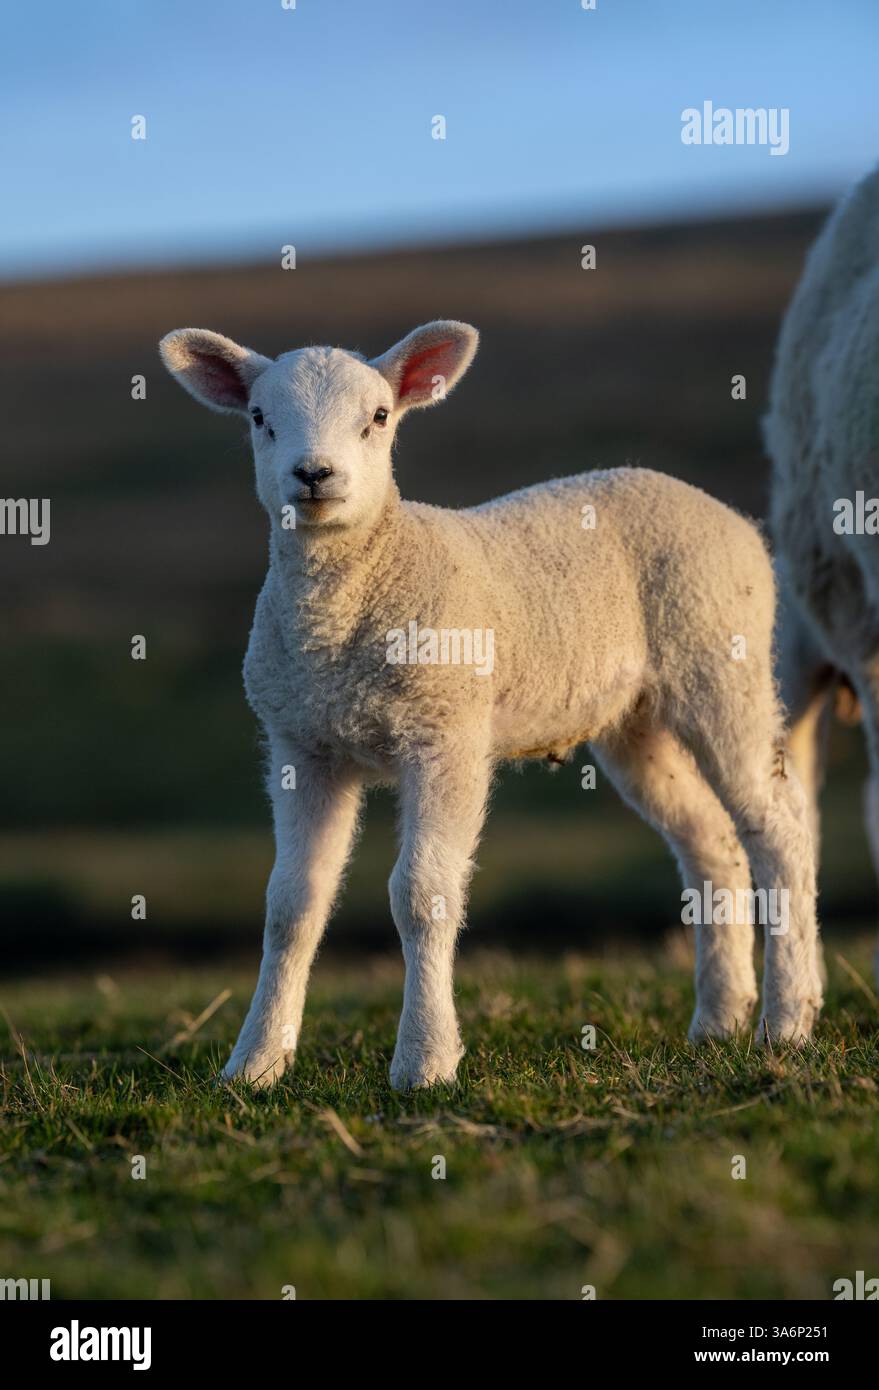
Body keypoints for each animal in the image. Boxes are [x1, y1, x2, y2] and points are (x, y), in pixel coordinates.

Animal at [159, 320, 822, 1090]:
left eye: (378, 417)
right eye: (260, 419)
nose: (314, 474)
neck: (348, 605)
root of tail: (729, 517)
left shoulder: (445, 732)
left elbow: (421, 894)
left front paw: (424, 1059)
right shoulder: (303, 744)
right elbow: (291, 905)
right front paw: (255, 1063)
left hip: (720, 656)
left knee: (776, 826)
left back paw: (787, 1019)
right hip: (635, 721)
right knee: (710, 840)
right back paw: (719, 1018)